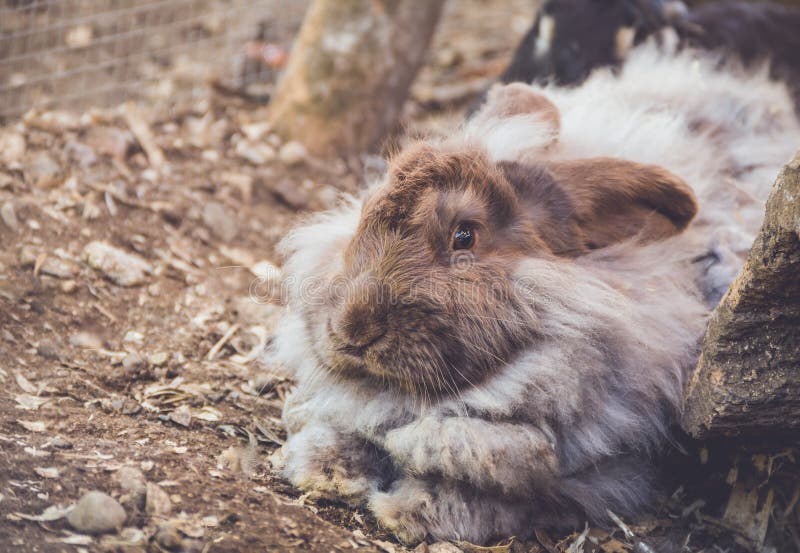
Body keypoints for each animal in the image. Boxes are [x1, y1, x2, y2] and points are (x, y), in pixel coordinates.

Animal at [266, 46, 800, 545]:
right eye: (364, 214)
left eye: (464, 236)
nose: (352, 330)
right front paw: (323, 471)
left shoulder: (597, 477)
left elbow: (499, 497)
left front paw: (409, 509)